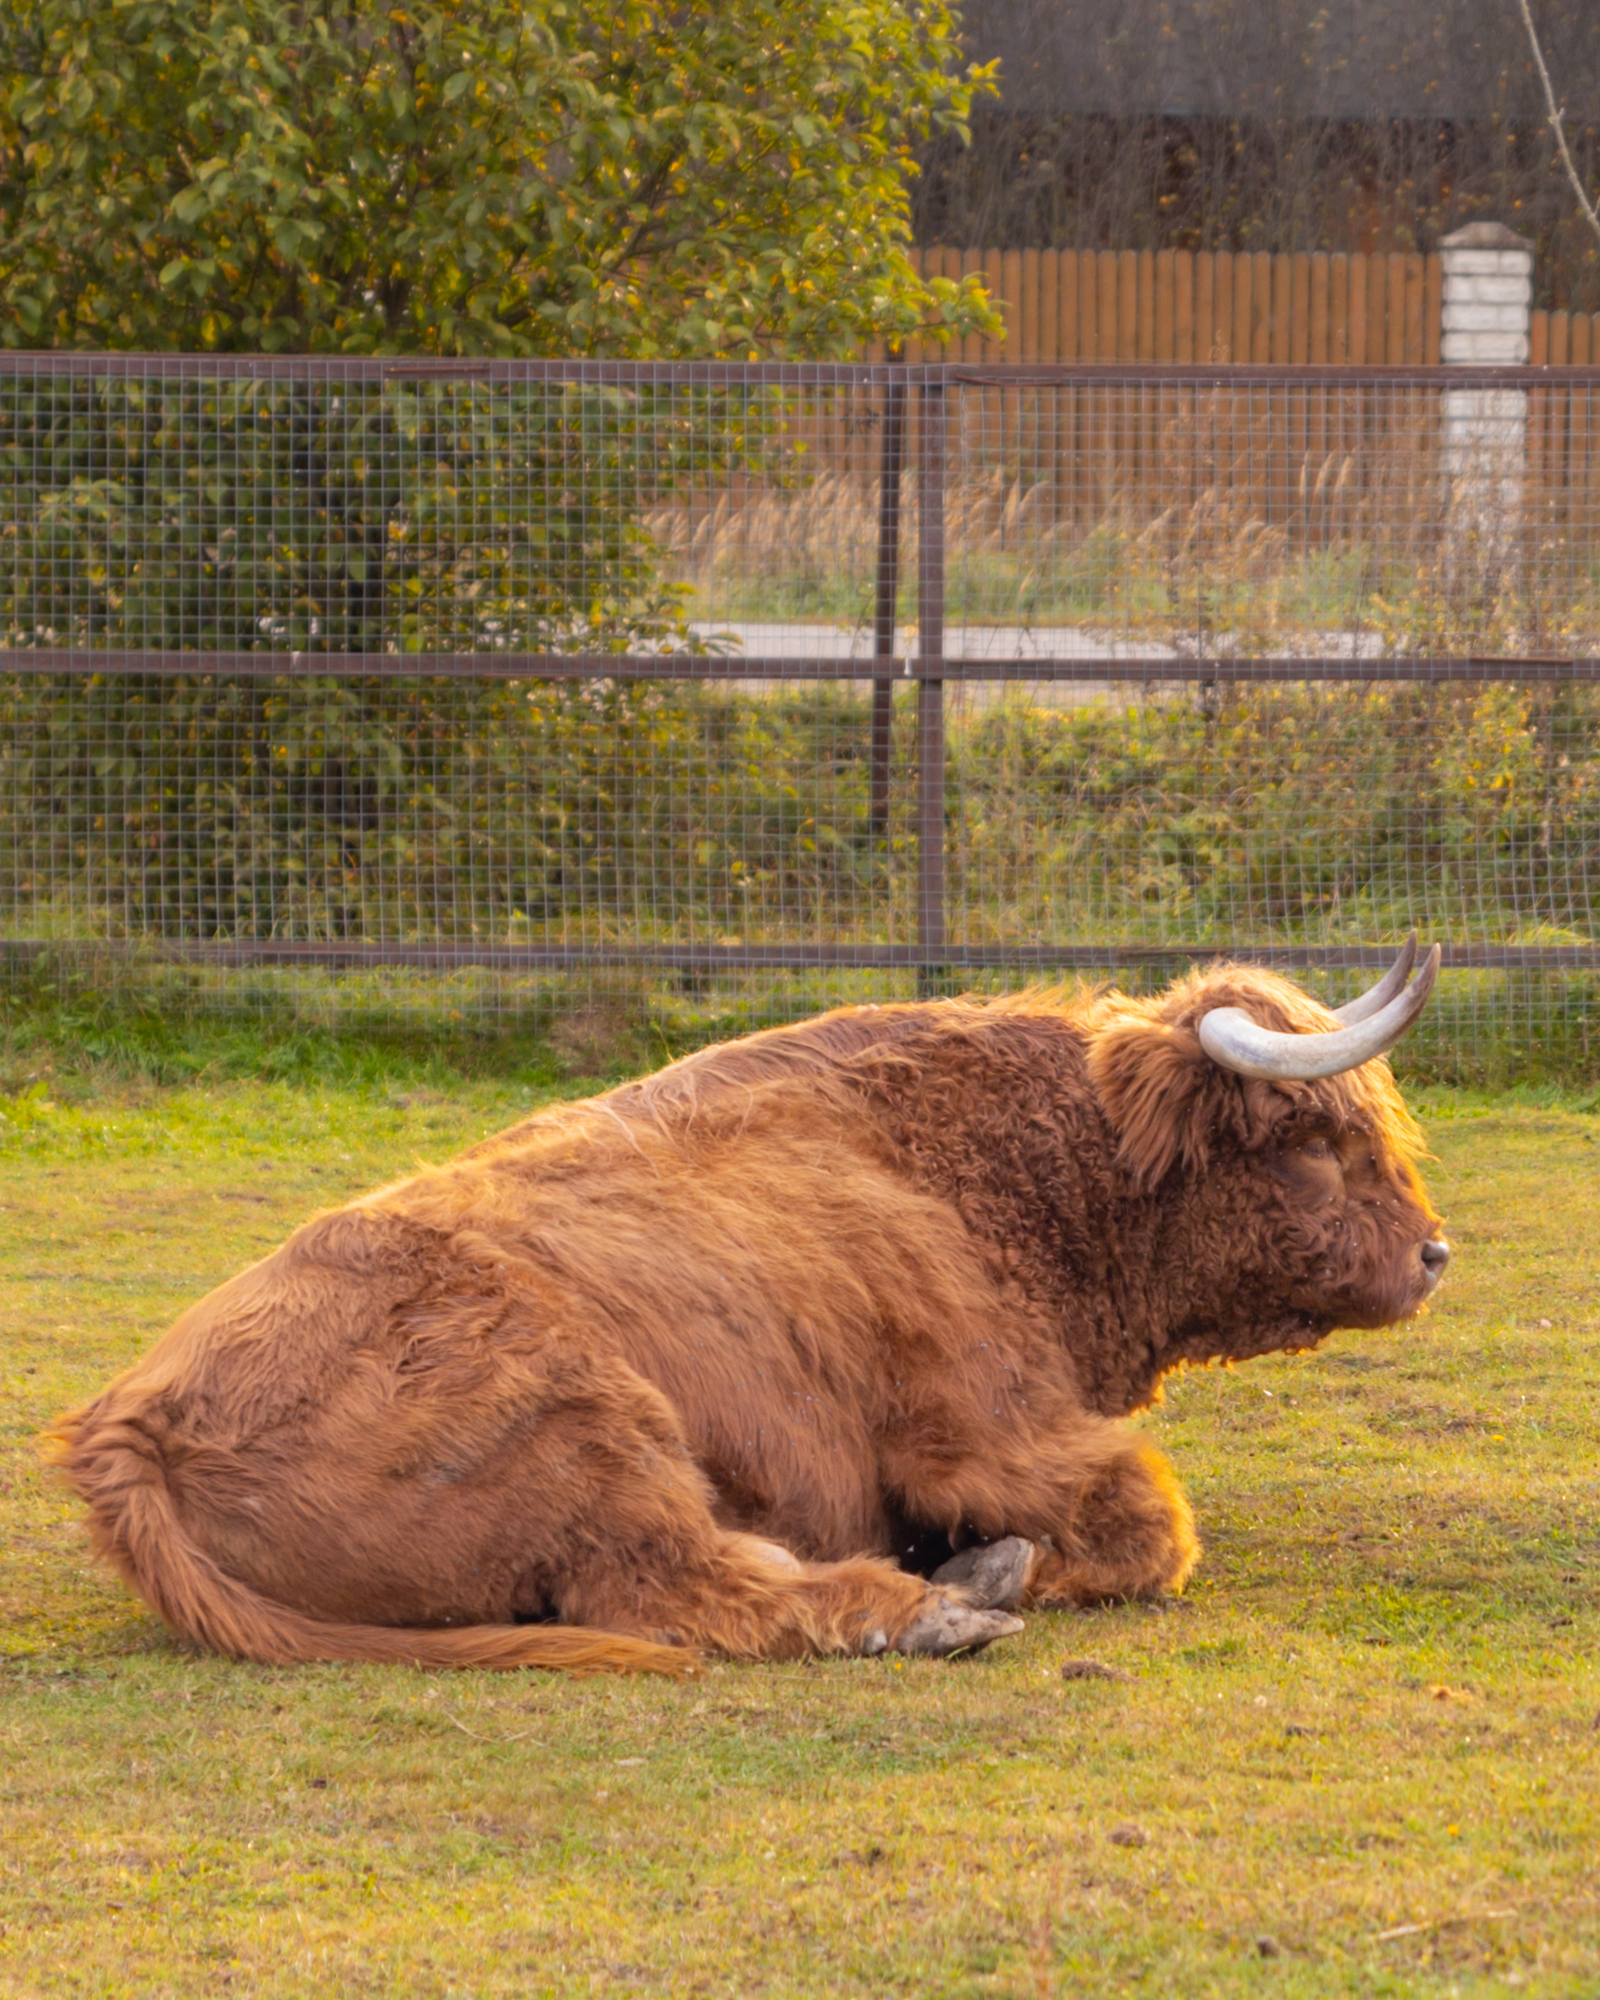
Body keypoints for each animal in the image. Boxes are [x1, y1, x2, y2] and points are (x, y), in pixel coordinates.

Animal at [50, 944, 1448, 1664]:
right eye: (1314, 1139)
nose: (1431, 1253)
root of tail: (133, 1424)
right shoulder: (983, 1430)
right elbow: (1152, 1523)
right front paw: (985, 1560)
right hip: (598, 1421)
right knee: (687, 1586)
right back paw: (935, 1609)